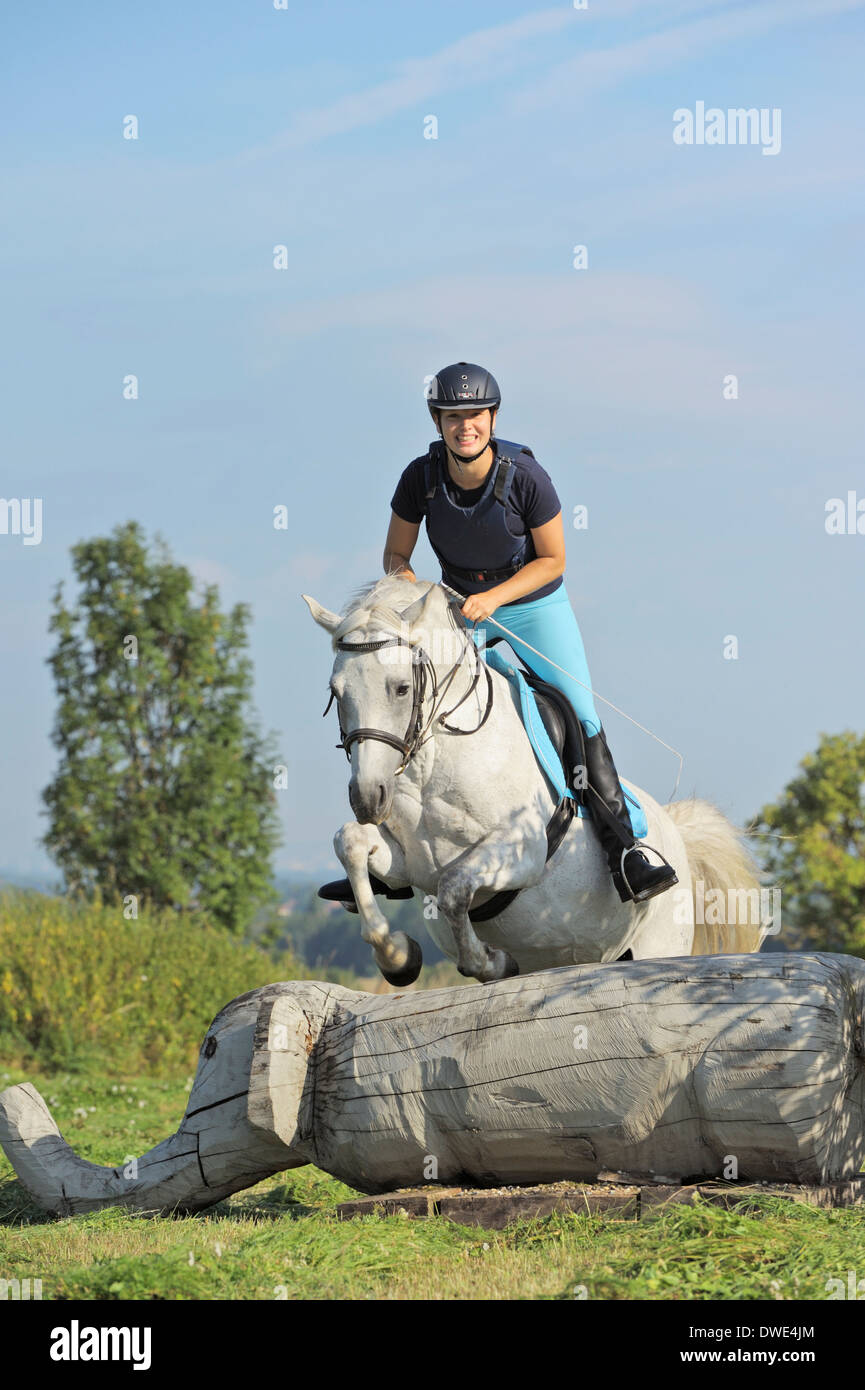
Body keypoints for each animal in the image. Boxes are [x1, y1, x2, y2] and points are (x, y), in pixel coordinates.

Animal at [302, 576, 767, 986]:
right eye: (336, 693)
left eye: (400, 688)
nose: (367, 798)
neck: (432, 768)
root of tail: (676, 832)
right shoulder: (409, 867)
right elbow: (350, 843)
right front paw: (399, 958)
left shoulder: (522, 849)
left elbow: (454, 887)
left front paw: (489, 962)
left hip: (659, 943)